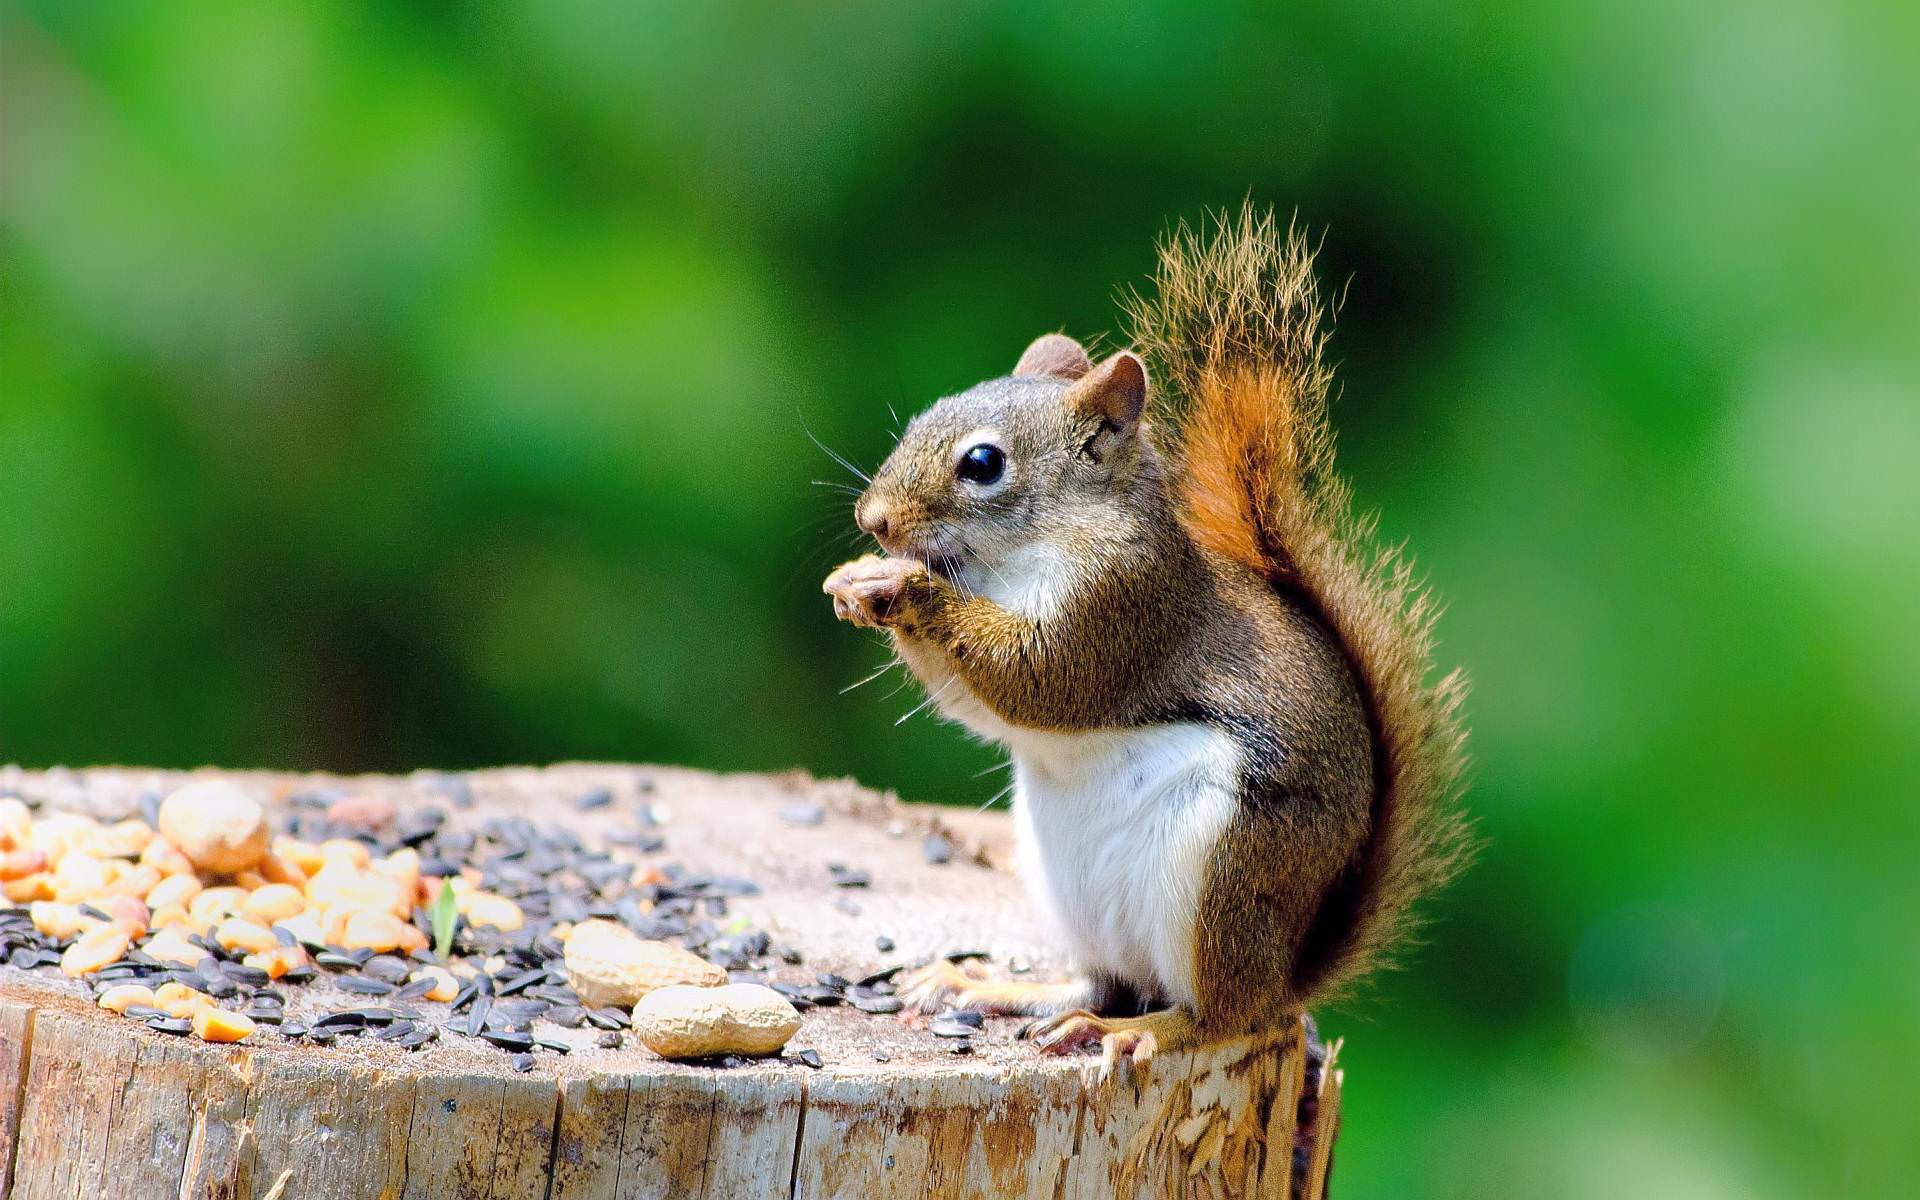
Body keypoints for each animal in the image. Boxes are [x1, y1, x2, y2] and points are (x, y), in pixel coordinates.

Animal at [823, 205, 1471, 1070]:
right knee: (1102, 980)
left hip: (1225, 872)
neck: (1013, 559)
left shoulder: (1123, 605)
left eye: (984, 463)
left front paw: (904, 589)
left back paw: (1135, 1031)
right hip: (1069, 888)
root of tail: (1289, 970)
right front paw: (859, 579)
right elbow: (977, 701)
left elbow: (1041, 678)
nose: (875, 520)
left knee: (1221, 1015)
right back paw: (998, 989)